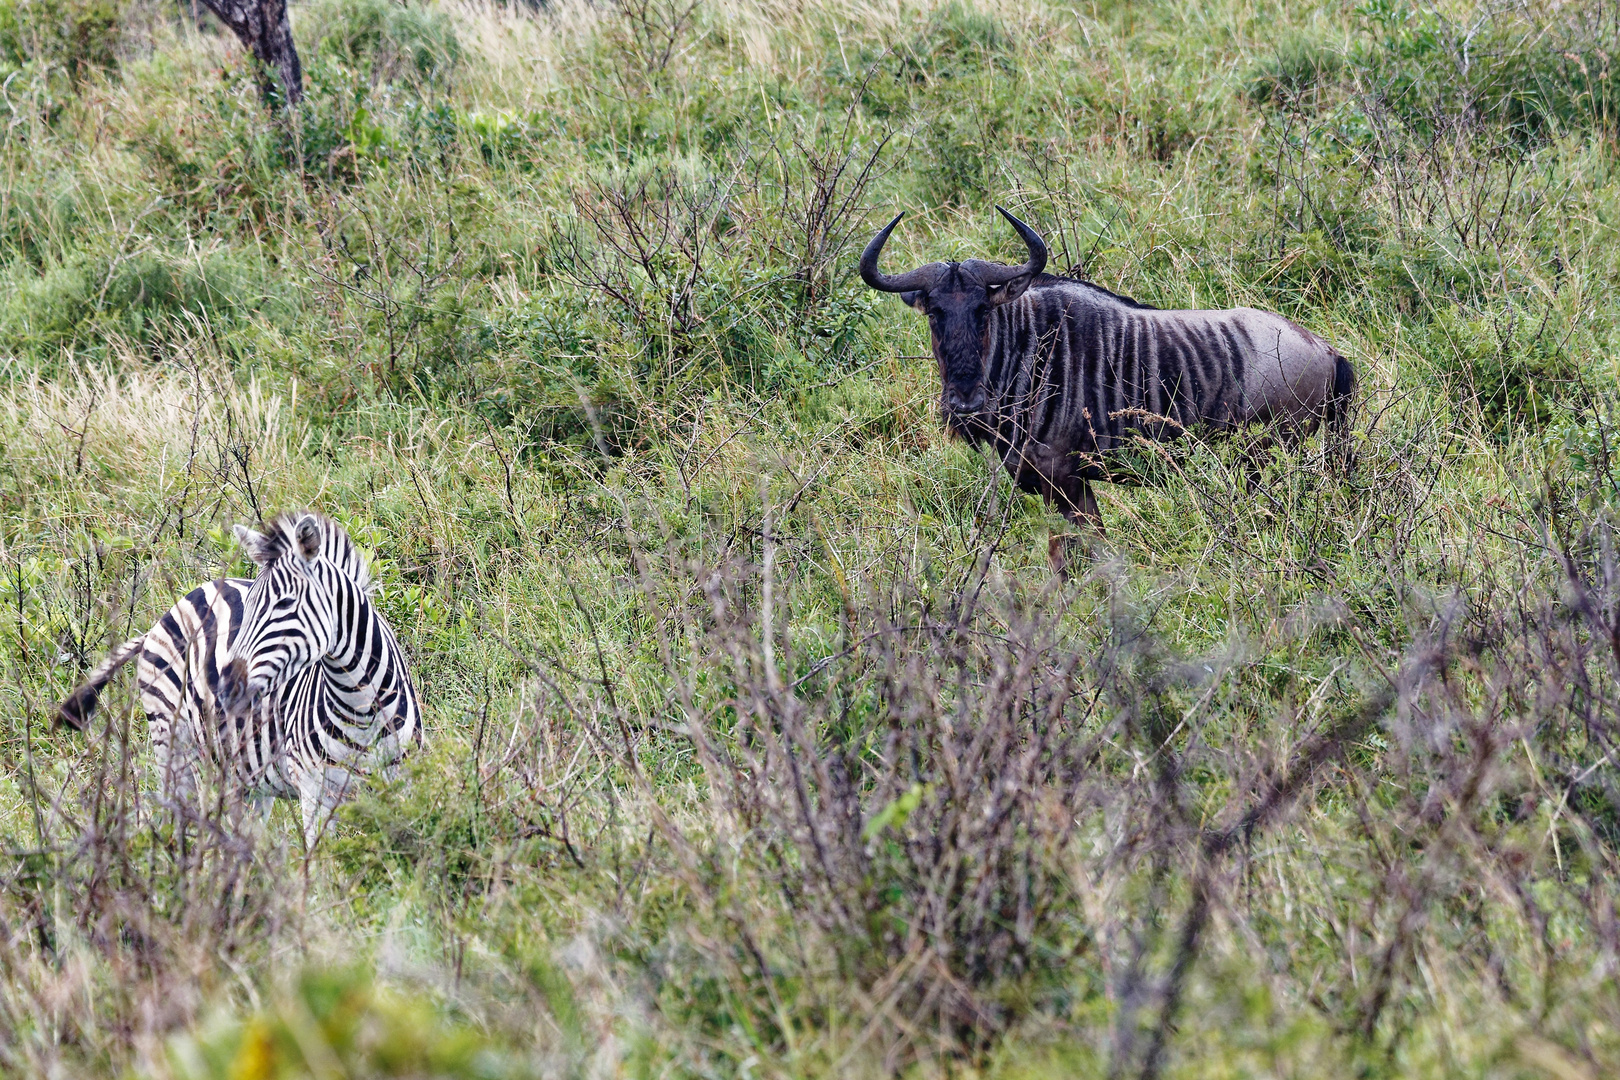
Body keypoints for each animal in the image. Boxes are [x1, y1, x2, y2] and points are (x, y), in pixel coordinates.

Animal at [57, 511, 424, 848]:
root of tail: (178, 602)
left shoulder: (403, 787)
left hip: (247, 775)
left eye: (286, 603)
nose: (226, 687)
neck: (362, 708)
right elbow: (320, 866)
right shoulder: (315, 792)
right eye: (248, 607)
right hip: (171, 743)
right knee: (176, 824)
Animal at [861, 205, 1354, 553]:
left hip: (1263, 460)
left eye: (984, 311)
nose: (964, 402)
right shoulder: (1069, 483)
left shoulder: (1061, 478)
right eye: (935, 314)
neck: (1026, 352)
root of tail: (1325, 350)